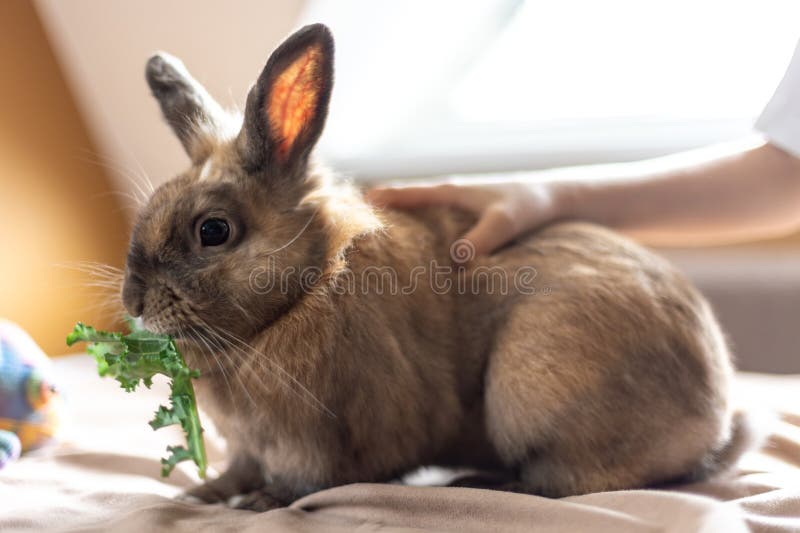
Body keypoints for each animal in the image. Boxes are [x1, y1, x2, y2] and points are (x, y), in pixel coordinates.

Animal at [122, 23, 751, 511]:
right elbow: (236, 470)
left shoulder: (321, 445)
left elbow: (307, 483)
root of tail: (714, 422)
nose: (133, 302)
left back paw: (485, 483)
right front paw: (201, 495)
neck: (308, 286)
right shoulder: (247, 446)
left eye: (213, 231)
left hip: (529, 391)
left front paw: (259, 503)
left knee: (576, 483)